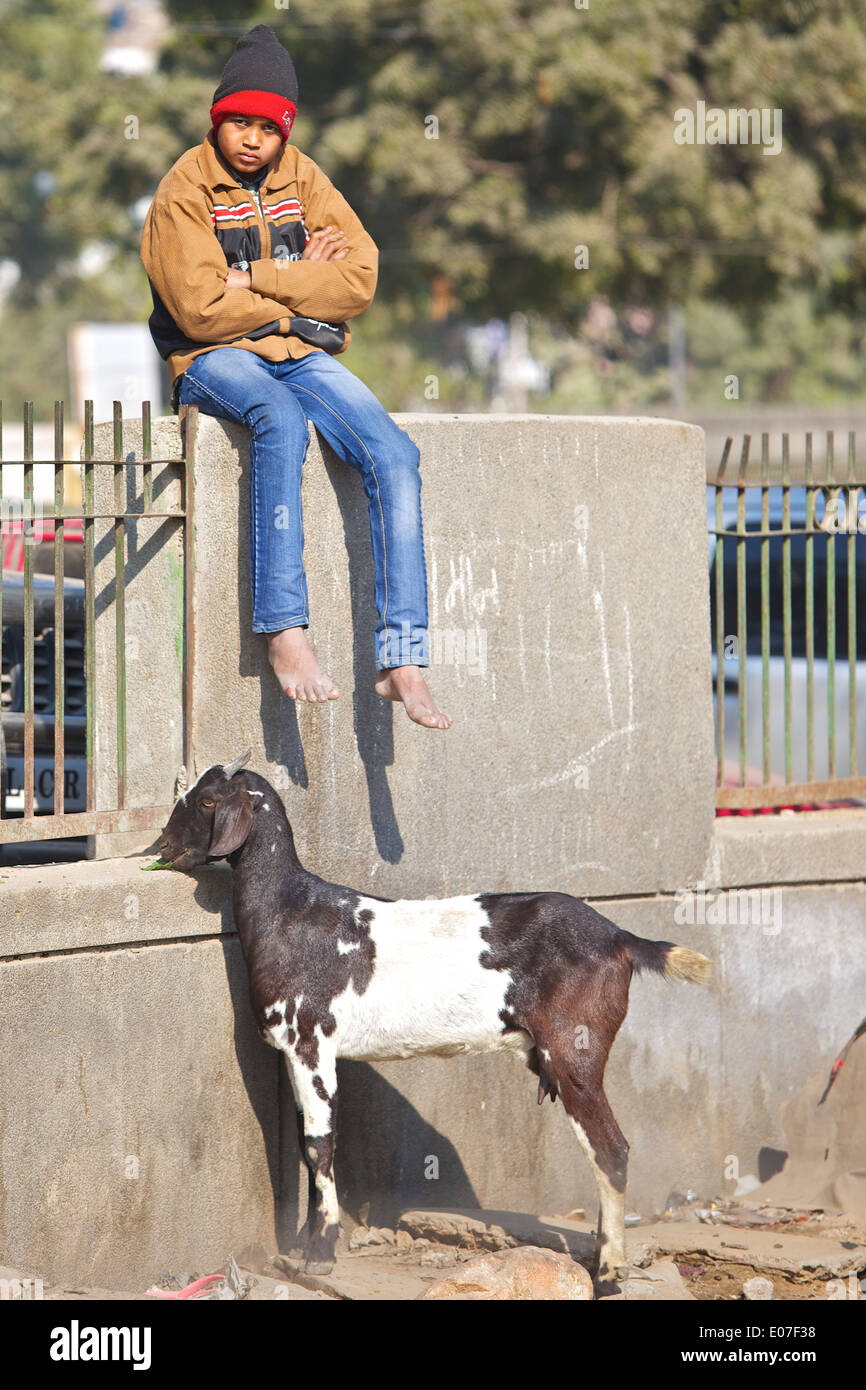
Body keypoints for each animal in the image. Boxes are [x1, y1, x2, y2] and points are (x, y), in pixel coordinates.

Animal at [154, 749, 711, 1291]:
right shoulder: (298, 1054)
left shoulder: (311, 1042)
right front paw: (307, 1246)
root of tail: (621, 938)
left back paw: (612, 1271)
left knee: (611, 1149)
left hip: (575, 1048)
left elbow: (318, 1145)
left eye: (206, 801)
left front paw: (319, 1253)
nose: (161, 845)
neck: (292, 912)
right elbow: (307, 1141)